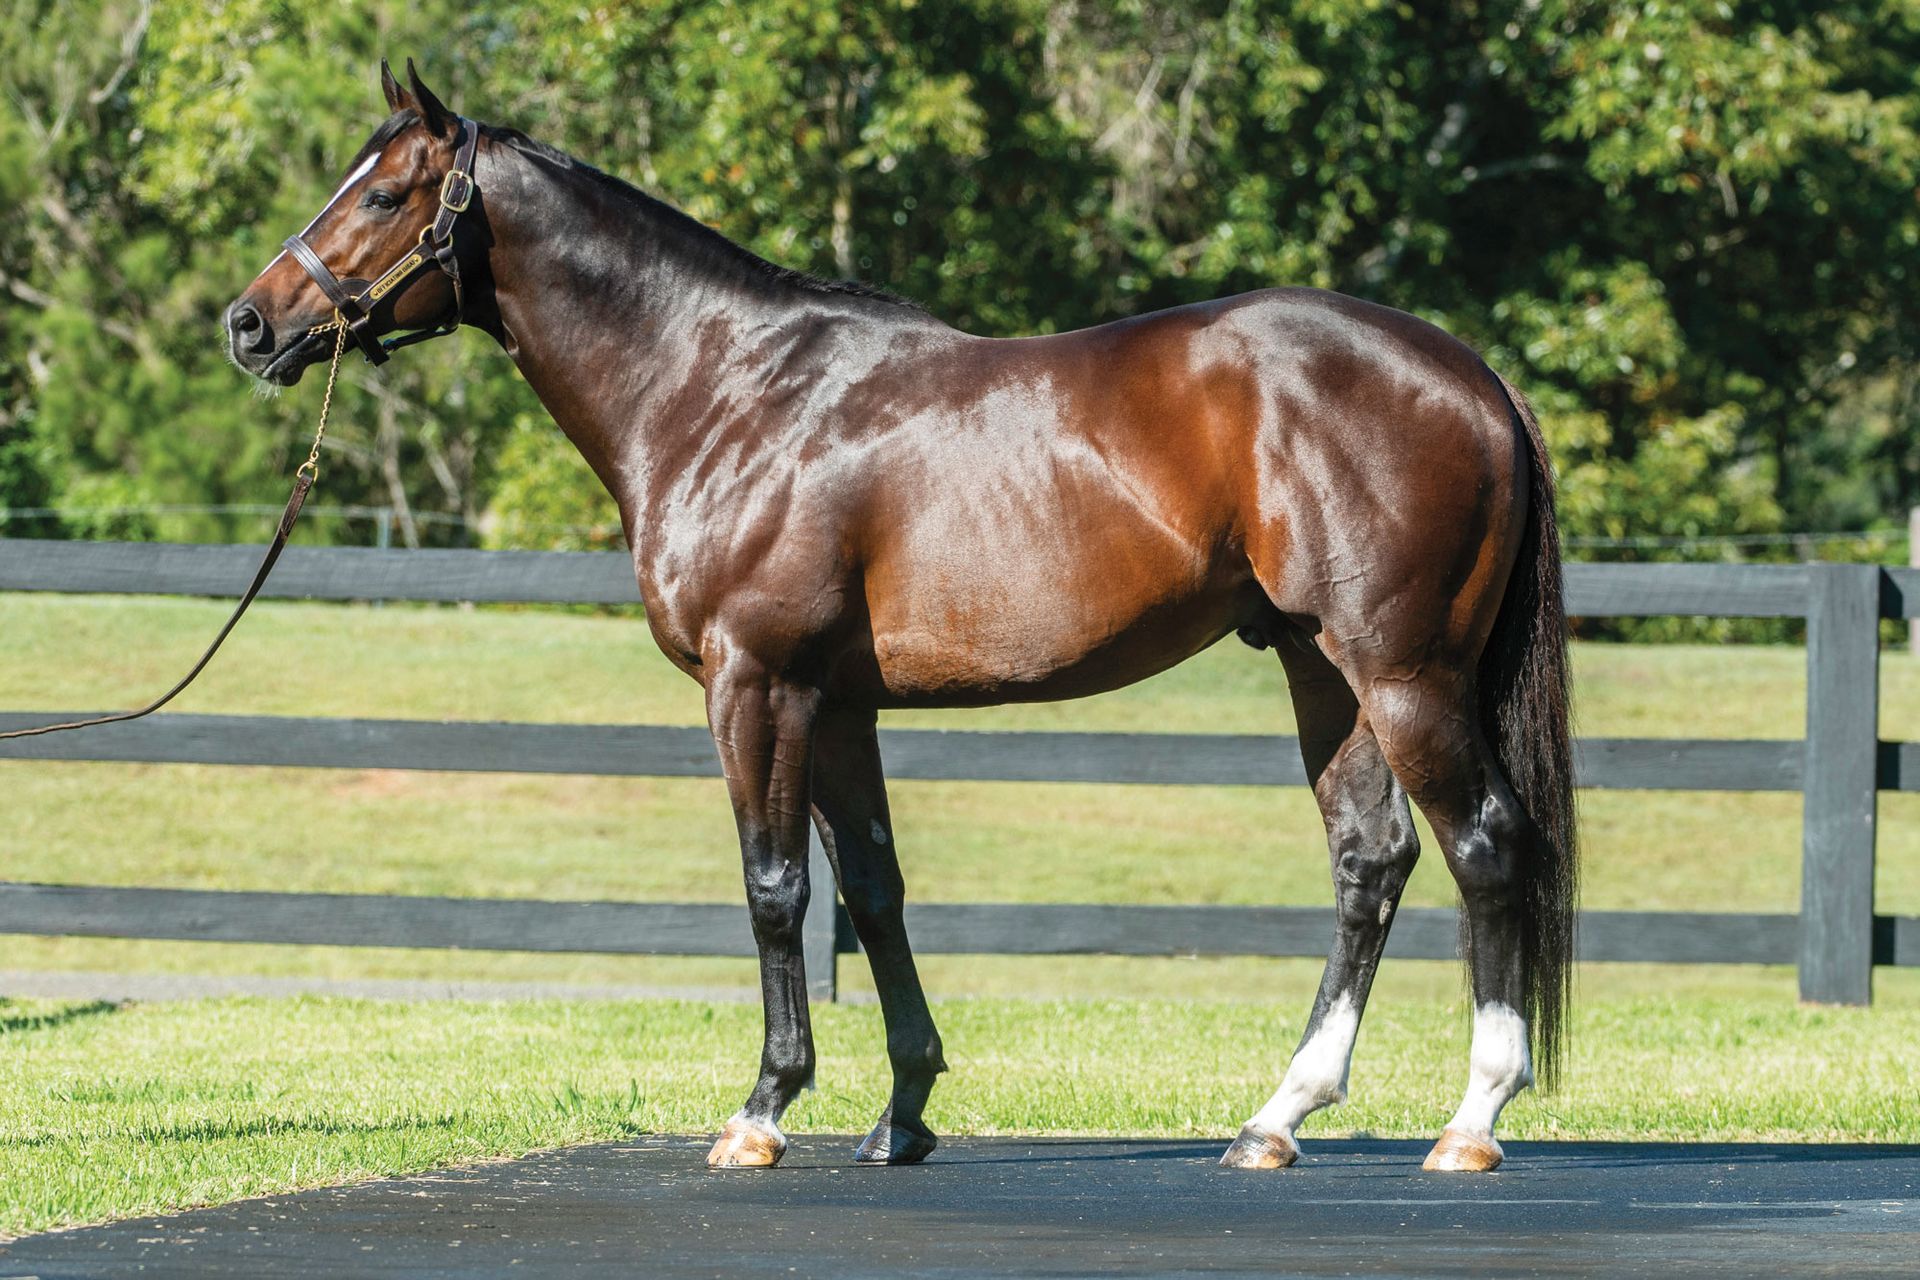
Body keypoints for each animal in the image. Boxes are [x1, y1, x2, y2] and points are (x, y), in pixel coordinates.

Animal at [227, 62, 1577, 1175]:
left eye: (383, 193)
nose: (251, 322)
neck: (724, 388)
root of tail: (1472, 374)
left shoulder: (758, 682)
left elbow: (776, 885)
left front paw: (764, 1108)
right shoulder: (837, 705)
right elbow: (872, 888)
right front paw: (904, 1111)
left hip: (1403, 670)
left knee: (1485, 845)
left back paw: (1471, 1119)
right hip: (1322, 669)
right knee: (1371, 858)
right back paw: (1276, 1117)